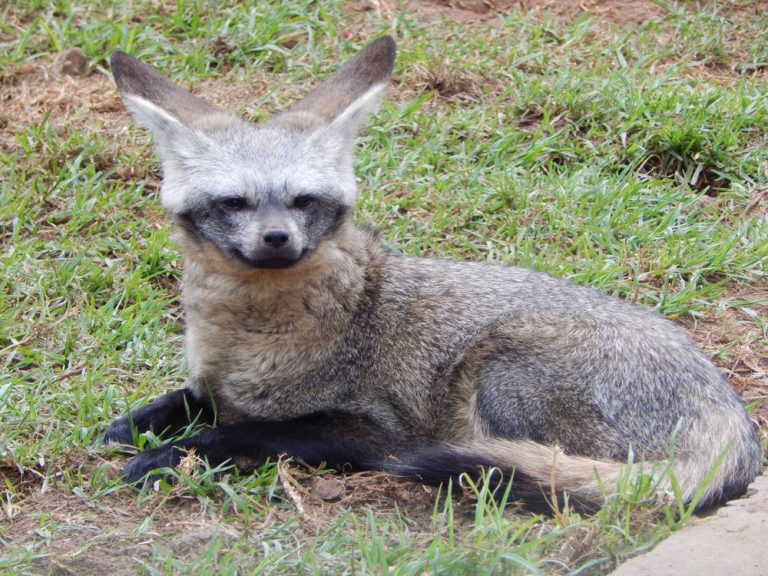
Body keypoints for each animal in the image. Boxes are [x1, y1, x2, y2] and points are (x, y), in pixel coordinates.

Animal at [103, 35, 762, 511]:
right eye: (235, 203)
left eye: (303, 201)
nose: (276, 239)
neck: (244, 337)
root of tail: (733, 419)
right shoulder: (215, 386)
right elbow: (182, 403)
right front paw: (131, 426)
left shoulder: (374, 429)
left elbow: (240, 435)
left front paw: (173, 455)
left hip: (502, 363)